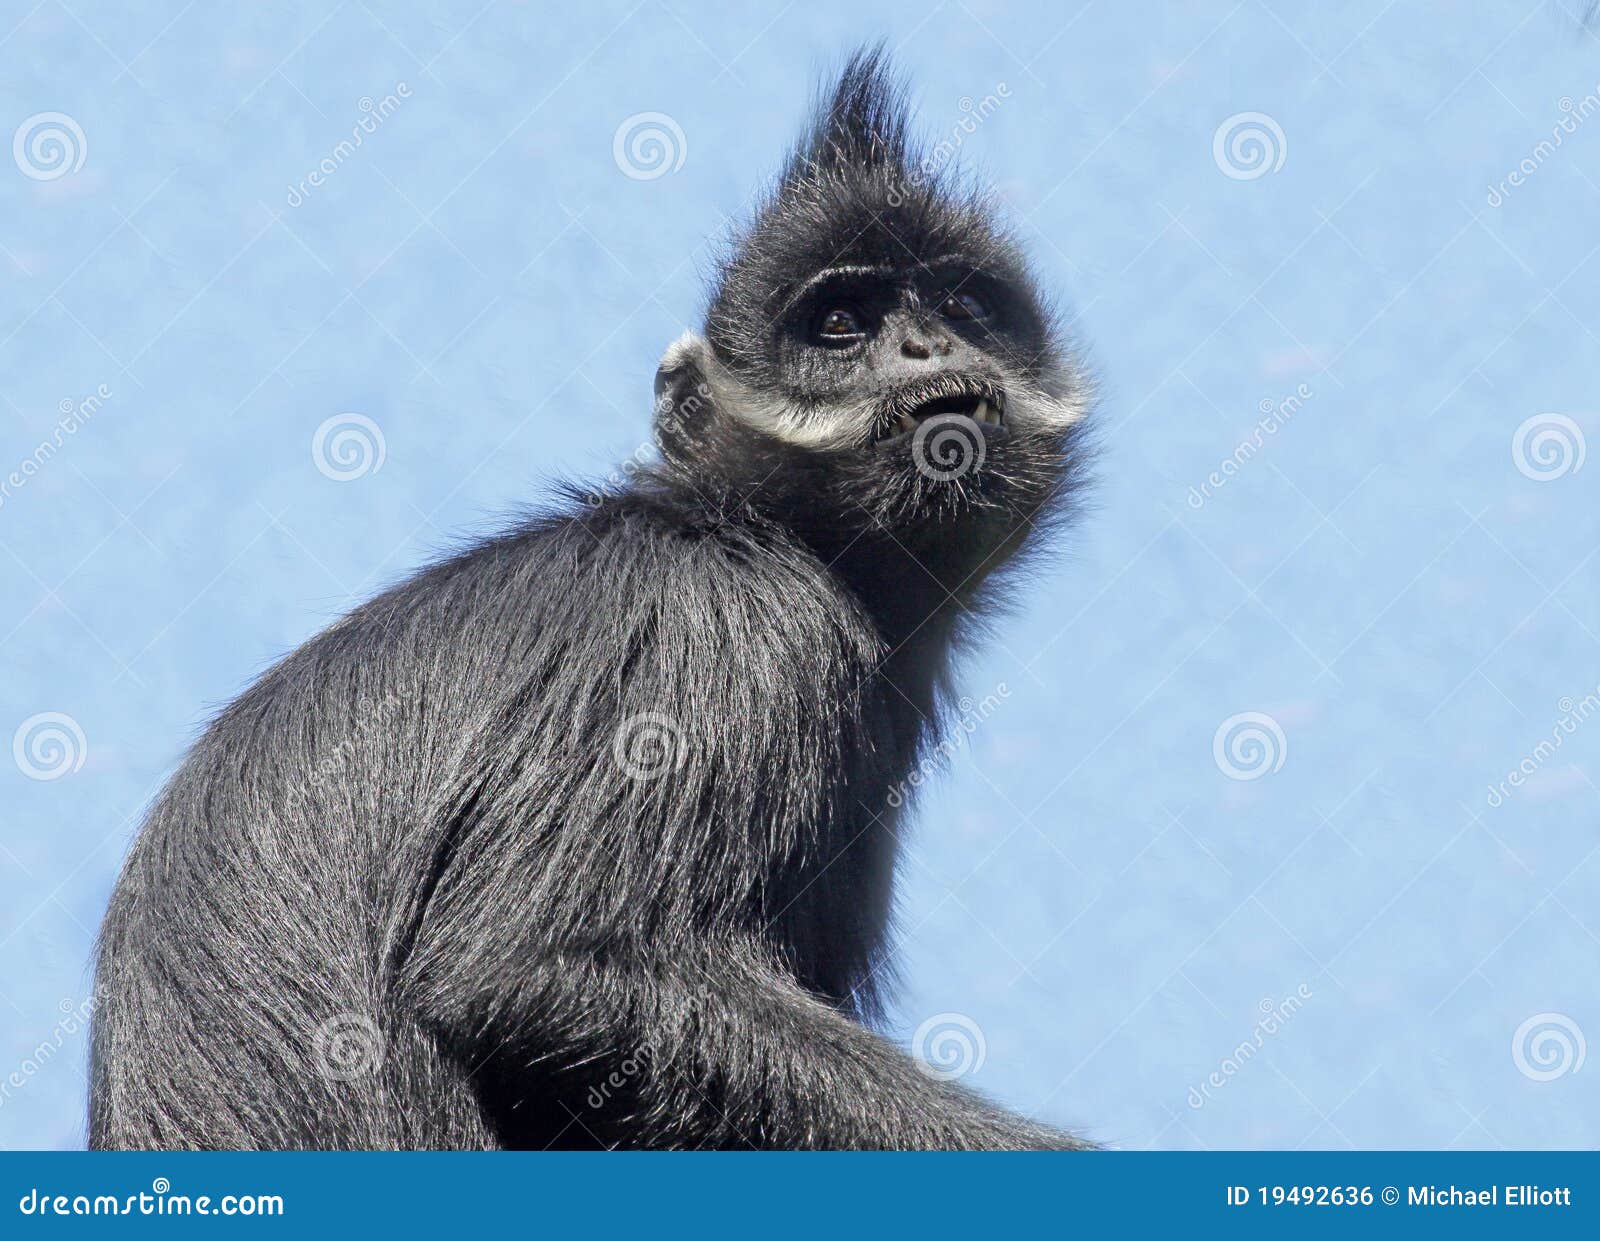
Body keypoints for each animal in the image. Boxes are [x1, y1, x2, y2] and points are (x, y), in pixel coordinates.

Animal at [88, 47, 1096, 1151]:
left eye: (962, 311)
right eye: (840, 326)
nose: (926, 351)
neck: (744, 524)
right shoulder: (727, 625)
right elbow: (532, 972)